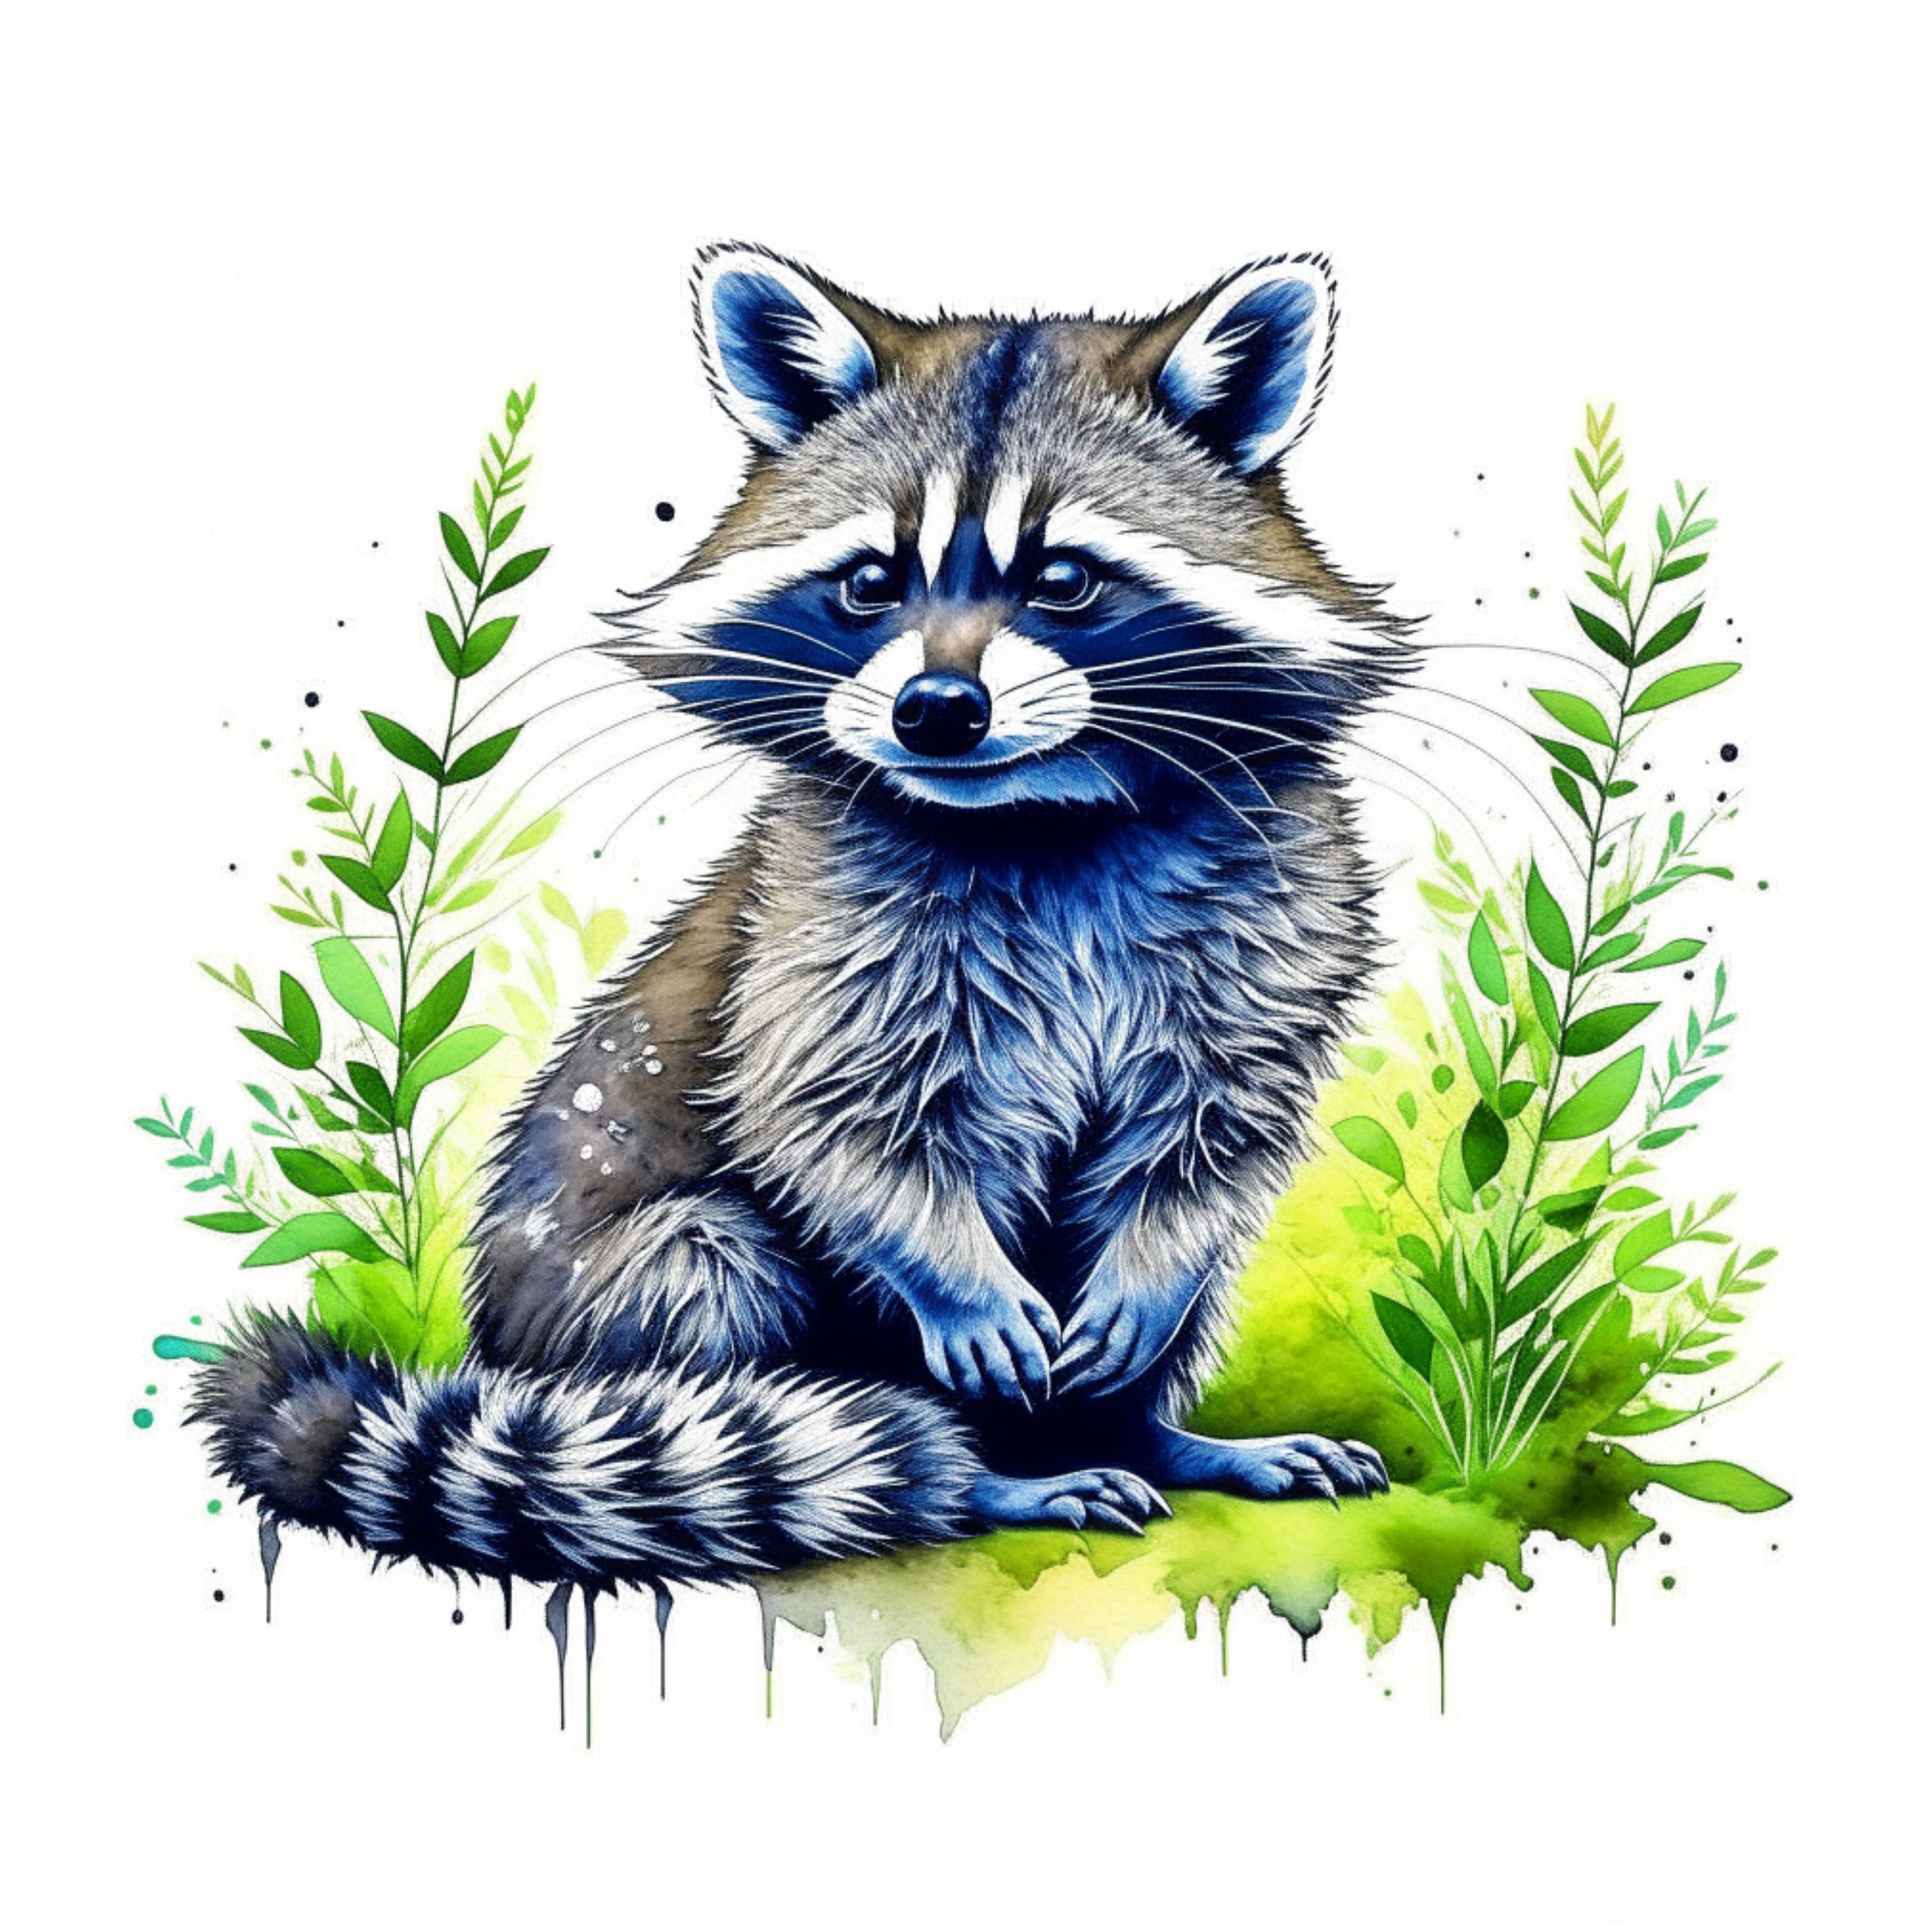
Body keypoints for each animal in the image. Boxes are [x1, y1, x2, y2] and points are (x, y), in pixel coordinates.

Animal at [196, 244, 1411, 1591]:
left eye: (1064, 579)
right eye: (872, 583)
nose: (938, 710)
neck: (1036, 815)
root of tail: (501, 1353)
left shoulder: (1270, 905)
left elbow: (1214, 1137)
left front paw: (1156, 1273)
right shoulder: (818, 937)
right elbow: (839, 1131)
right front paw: (957, 1286)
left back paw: (1155, 1434)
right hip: (627, 1311)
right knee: (718, 1287)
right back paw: (987, 1474)